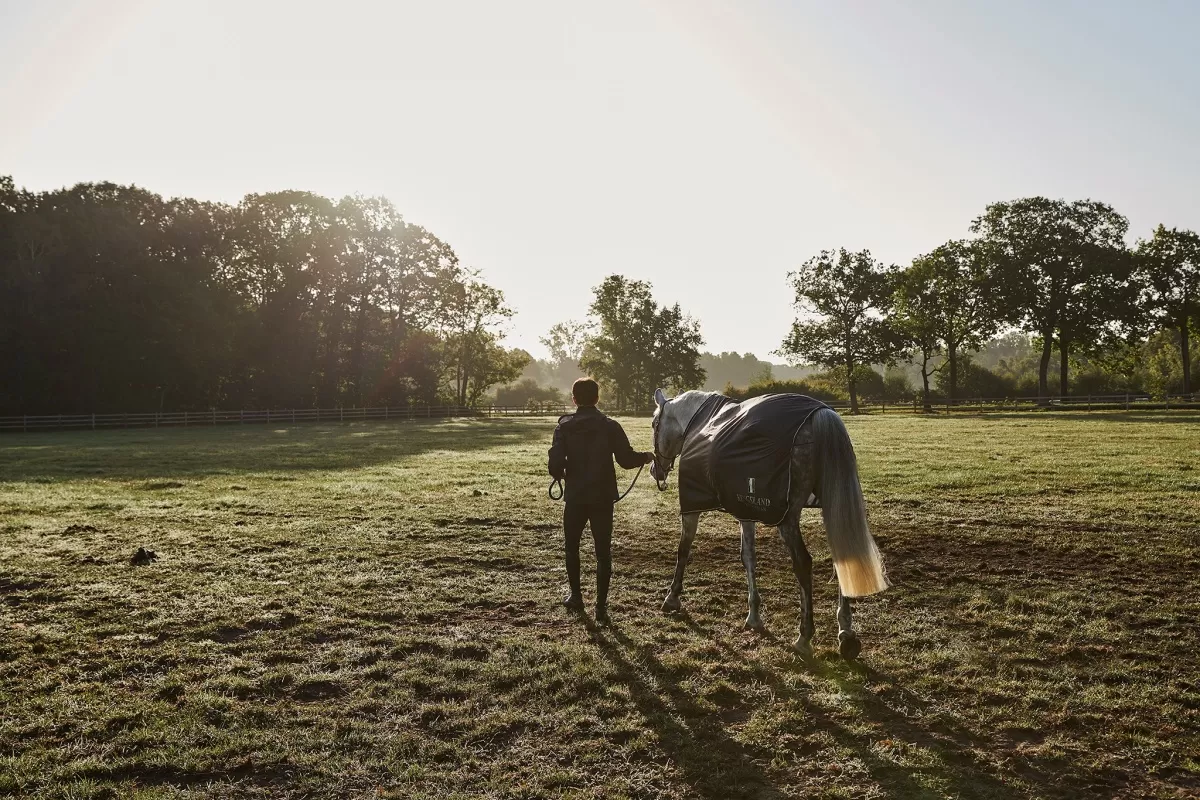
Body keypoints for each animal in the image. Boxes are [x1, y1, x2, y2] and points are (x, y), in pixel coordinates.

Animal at [652, 386, 888, 657]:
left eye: (654, 424)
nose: (655, 470)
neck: (699, 423)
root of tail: (821, 414)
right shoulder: (745, 511)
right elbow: (748, 557)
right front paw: (754, 615)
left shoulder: (692, 507)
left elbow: (683, 550)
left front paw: (672, 598)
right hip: (832, 504)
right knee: (844, 553)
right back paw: (846, 633)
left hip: (788, 520)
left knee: (803, 563)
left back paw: (804, 637)